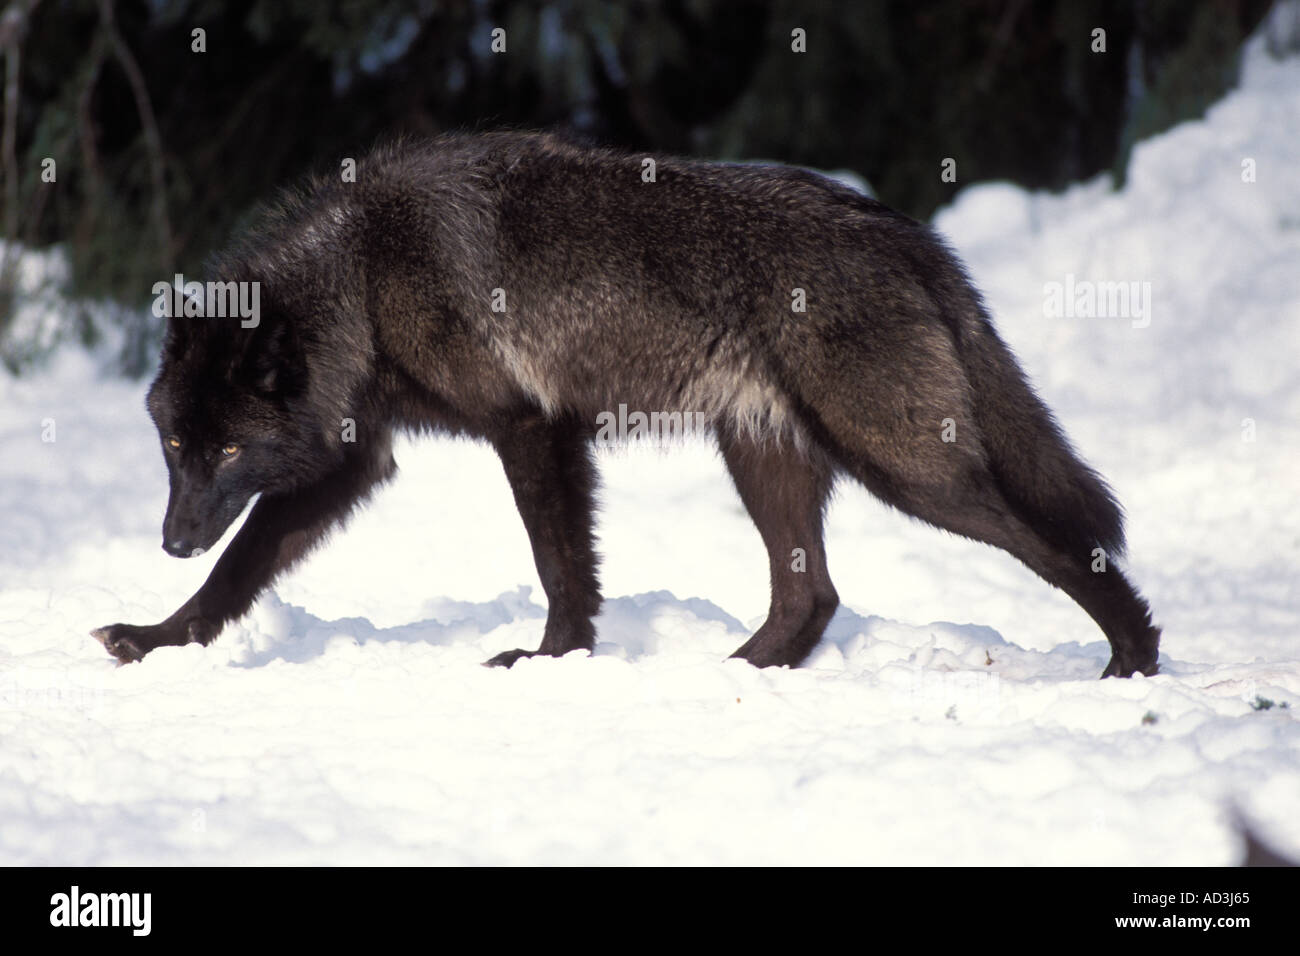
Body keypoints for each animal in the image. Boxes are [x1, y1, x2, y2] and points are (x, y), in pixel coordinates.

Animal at [93, 131, 1161, 677]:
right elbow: (236, 571)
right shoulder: (357, 461)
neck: (361, 273)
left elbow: (562, 569)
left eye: (231, 454)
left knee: (1063, 543)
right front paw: (154, 641)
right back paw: (728, 677)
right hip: (764, 459)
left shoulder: (532, 429)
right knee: (810, 597)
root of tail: (910, 235)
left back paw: (1133, 660)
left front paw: (549, 661)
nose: (169, 539)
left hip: (909, 471)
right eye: (177, 447)